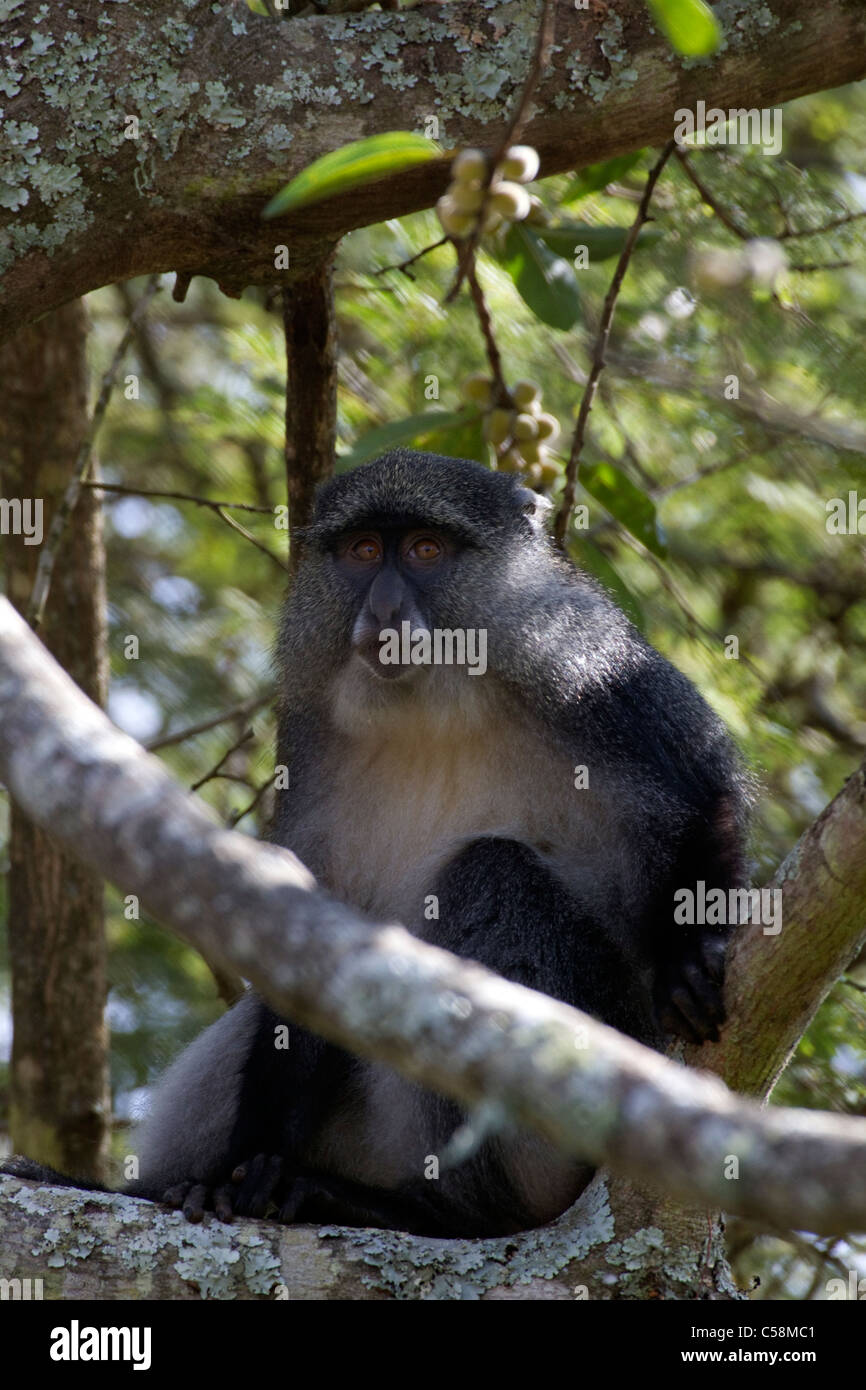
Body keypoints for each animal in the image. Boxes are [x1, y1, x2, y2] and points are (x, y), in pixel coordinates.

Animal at [2, 449, 749, 1237]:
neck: (437, 705)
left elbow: (705, 795)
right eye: (364, 551)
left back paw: (449, 1211)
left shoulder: (594, 674)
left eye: (424, 549)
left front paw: (690, 954)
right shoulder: (309, 736)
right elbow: (307, 943)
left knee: (493, 871)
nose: (386, 610)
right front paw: (243, 1174)